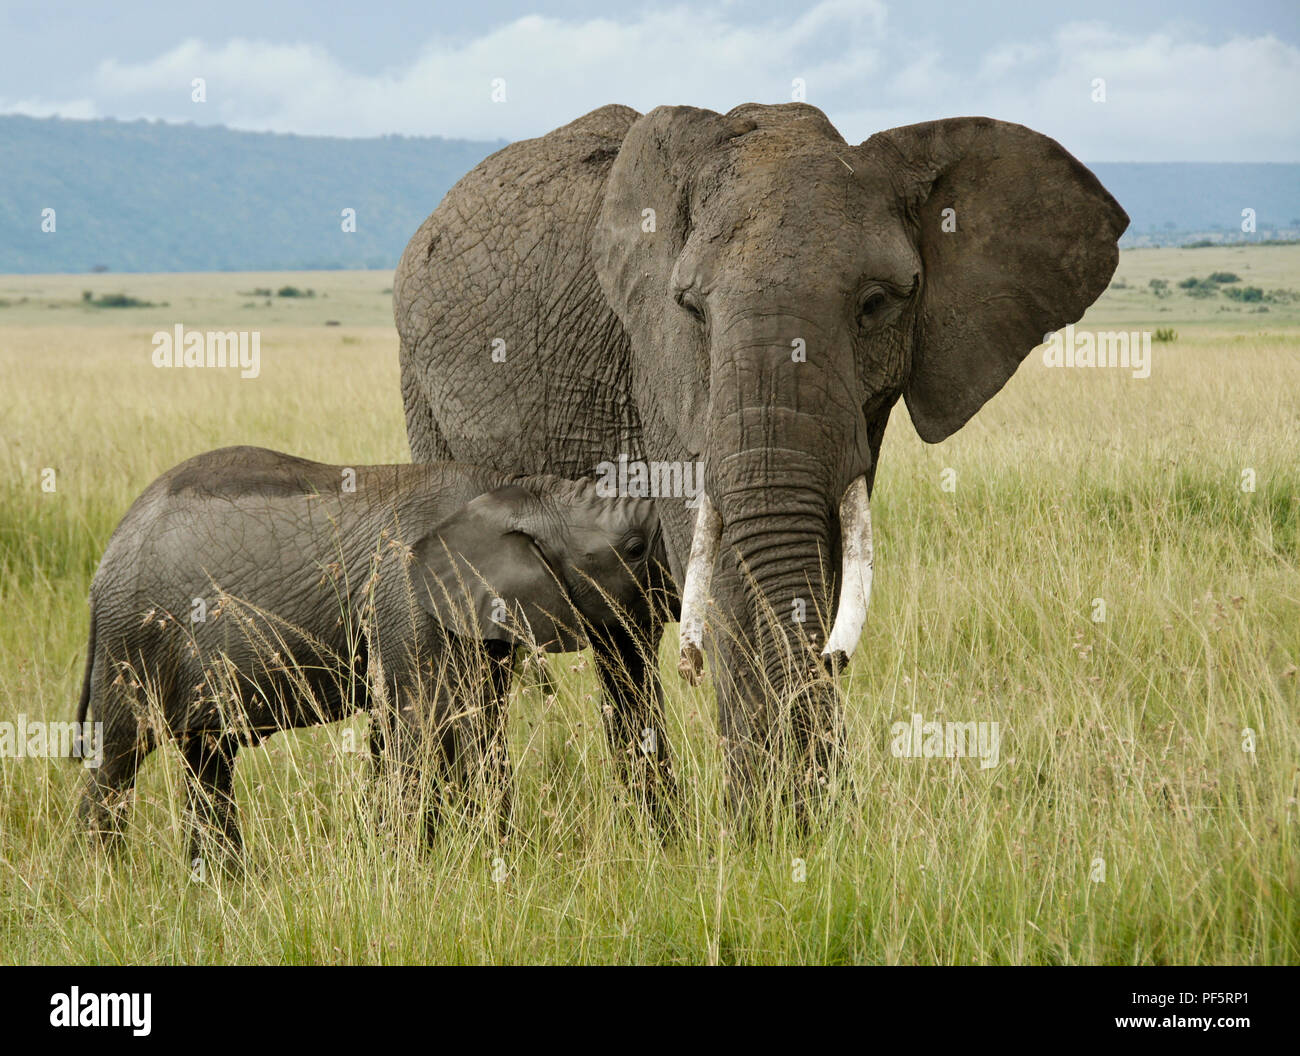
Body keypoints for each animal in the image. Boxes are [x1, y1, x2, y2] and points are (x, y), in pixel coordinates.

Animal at [74, 445, 668, 863]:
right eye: (636, 548)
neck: (509, 495)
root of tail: (105, 563)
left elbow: (470, 728)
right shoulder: (406, 599)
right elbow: (431, 731)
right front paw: (443, 868)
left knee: (207, 759)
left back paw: (222, 888)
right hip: (135, 638)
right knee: (117, 759)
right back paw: (105, 883)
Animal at [394, 102, 1128, 819]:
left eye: (875, 305)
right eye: (692, 308)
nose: (835, 664)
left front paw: (811, 826)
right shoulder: (663, 377)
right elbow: (727, 575)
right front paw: (773, 833)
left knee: (622, 644)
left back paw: (656, 832)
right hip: (421, 396)